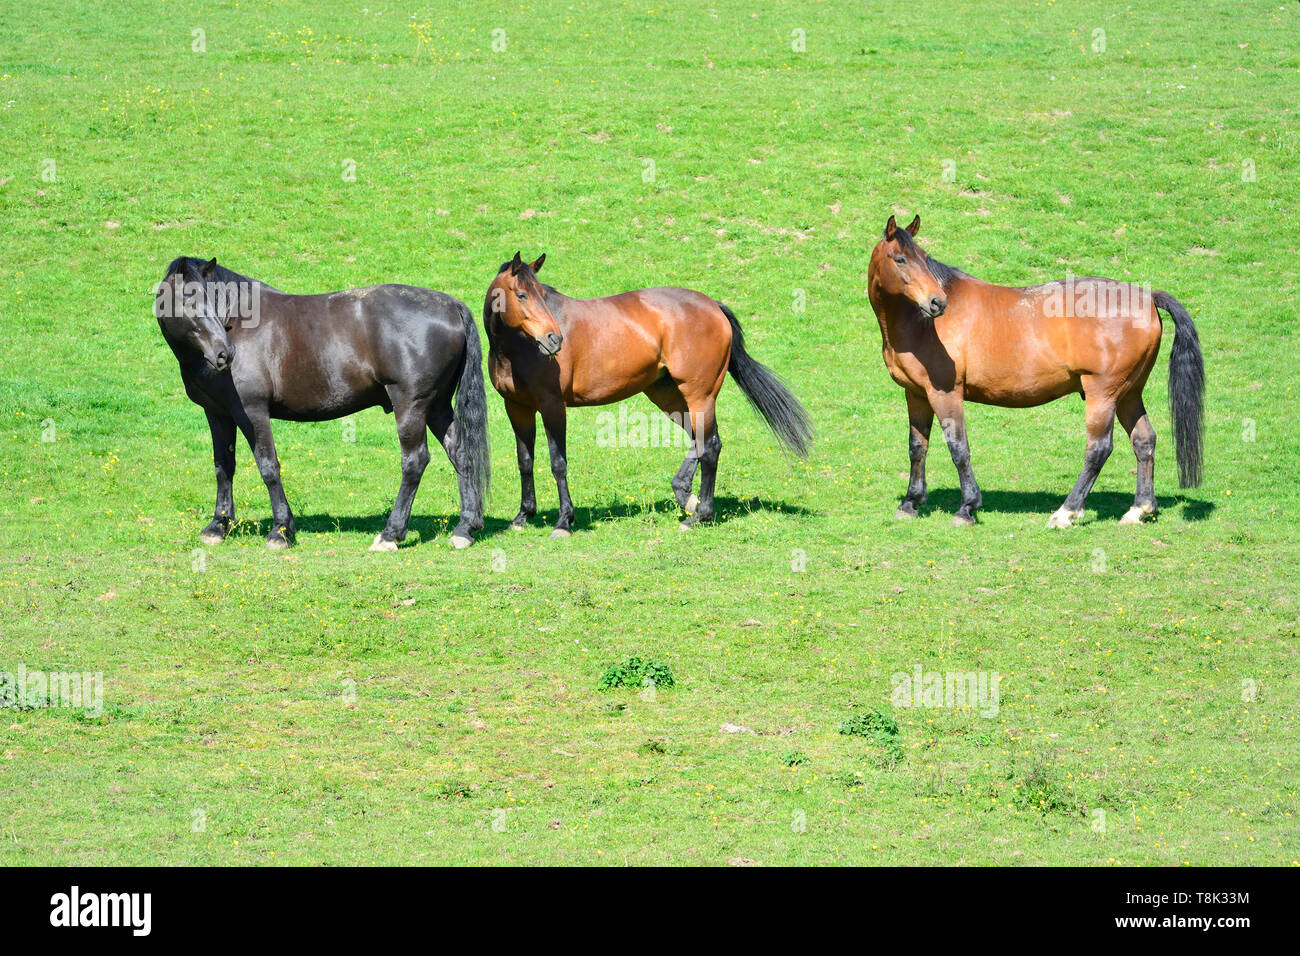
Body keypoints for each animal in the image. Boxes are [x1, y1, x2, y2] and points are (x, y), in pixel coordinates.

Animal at [154, 256, 490, 551]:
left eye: (212, 299)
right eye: (188, 299)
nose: (225, 353)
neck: (241, 325)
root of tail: (452, 306)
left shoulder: (253, 412)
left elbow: (268, 466)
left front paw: (281, 530)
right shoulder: (218, 414)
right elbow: (224, 466)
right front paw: (218, 526)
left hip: (411, 406)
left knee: (415, 461)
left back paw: (391, 534)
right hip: (437, 407)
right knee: (460, 455)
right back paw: (464, 529)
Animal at [482, 252, 812, 536]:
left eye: (542, 294)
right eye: (522, 295)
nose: (554, 340)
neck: (515, 348)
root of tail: (713, 306)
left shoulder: (552, 406)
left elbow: (557, 462)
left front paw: (564, 521)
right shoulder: (517, 407)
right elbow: (525, 461)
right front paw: (523, 516)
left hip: (700, 396)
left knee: (710, 446)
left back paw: (699, 515)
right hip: (669, 397)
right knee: (700, 441)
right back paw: (688, 499)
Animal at [867, 215, 1204, 528]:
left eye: (924, 257)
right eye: (900, 258)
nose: (938, 302)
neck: (922, 324)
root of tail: (1147, 297)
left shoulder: (945, 394)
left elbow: (958, 447)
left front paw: (967, 508)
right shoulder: (916, 394)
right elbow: (917, 447)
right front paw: (911, 503)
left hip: (1104, 394)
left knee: (1098, 449)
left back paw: (1067, 512)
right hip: (1129, 394)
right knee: (1144, 440)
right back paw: (1139, 509)